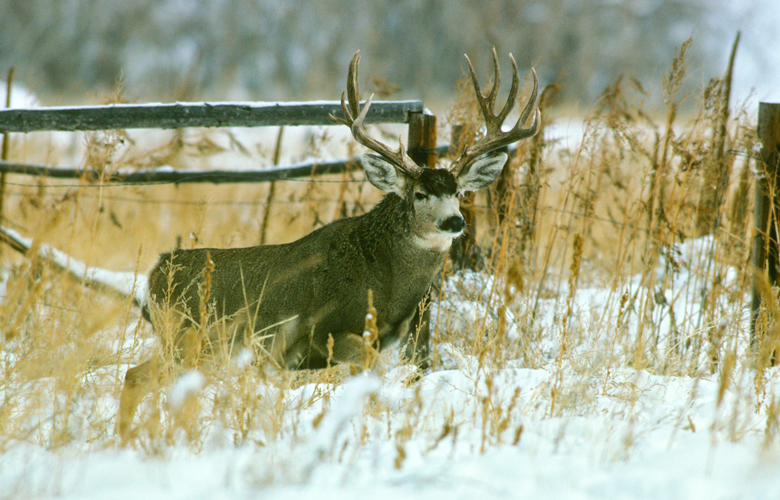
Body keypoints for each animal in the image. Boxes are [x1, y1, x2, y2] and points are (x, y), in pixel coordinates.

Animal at [116, 48, 539, 441]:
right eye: (420, 194)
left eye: (460, 192)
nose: (455, 221)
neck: (386, 284)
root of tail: (156, 272)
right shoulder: (325, 331)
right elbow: (368, 368)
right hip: (190, 338)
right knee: (137, 376)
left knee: (142, 379)